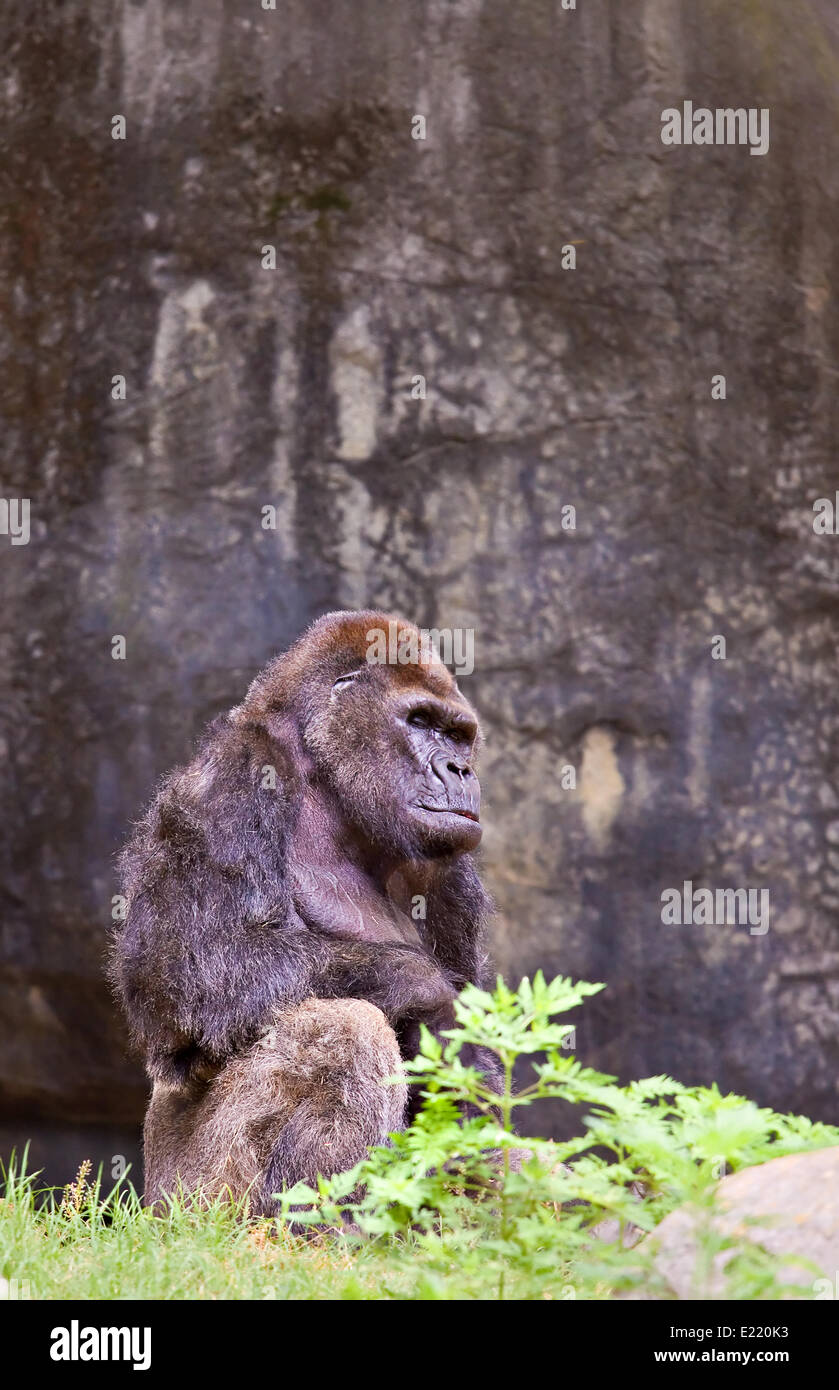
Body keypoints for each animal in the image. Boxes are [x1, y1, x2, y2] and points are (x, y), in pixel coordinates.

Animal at [111, 610, 503, 1214]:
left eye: (458, 734)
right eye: (419, 722)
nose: (459, 769)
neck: (328, 781)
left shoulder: (449, 864)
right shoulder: (230, 775)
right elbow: (189, 969)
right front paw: (430, 994)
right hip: (188, 1202)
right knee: (347, 1027)